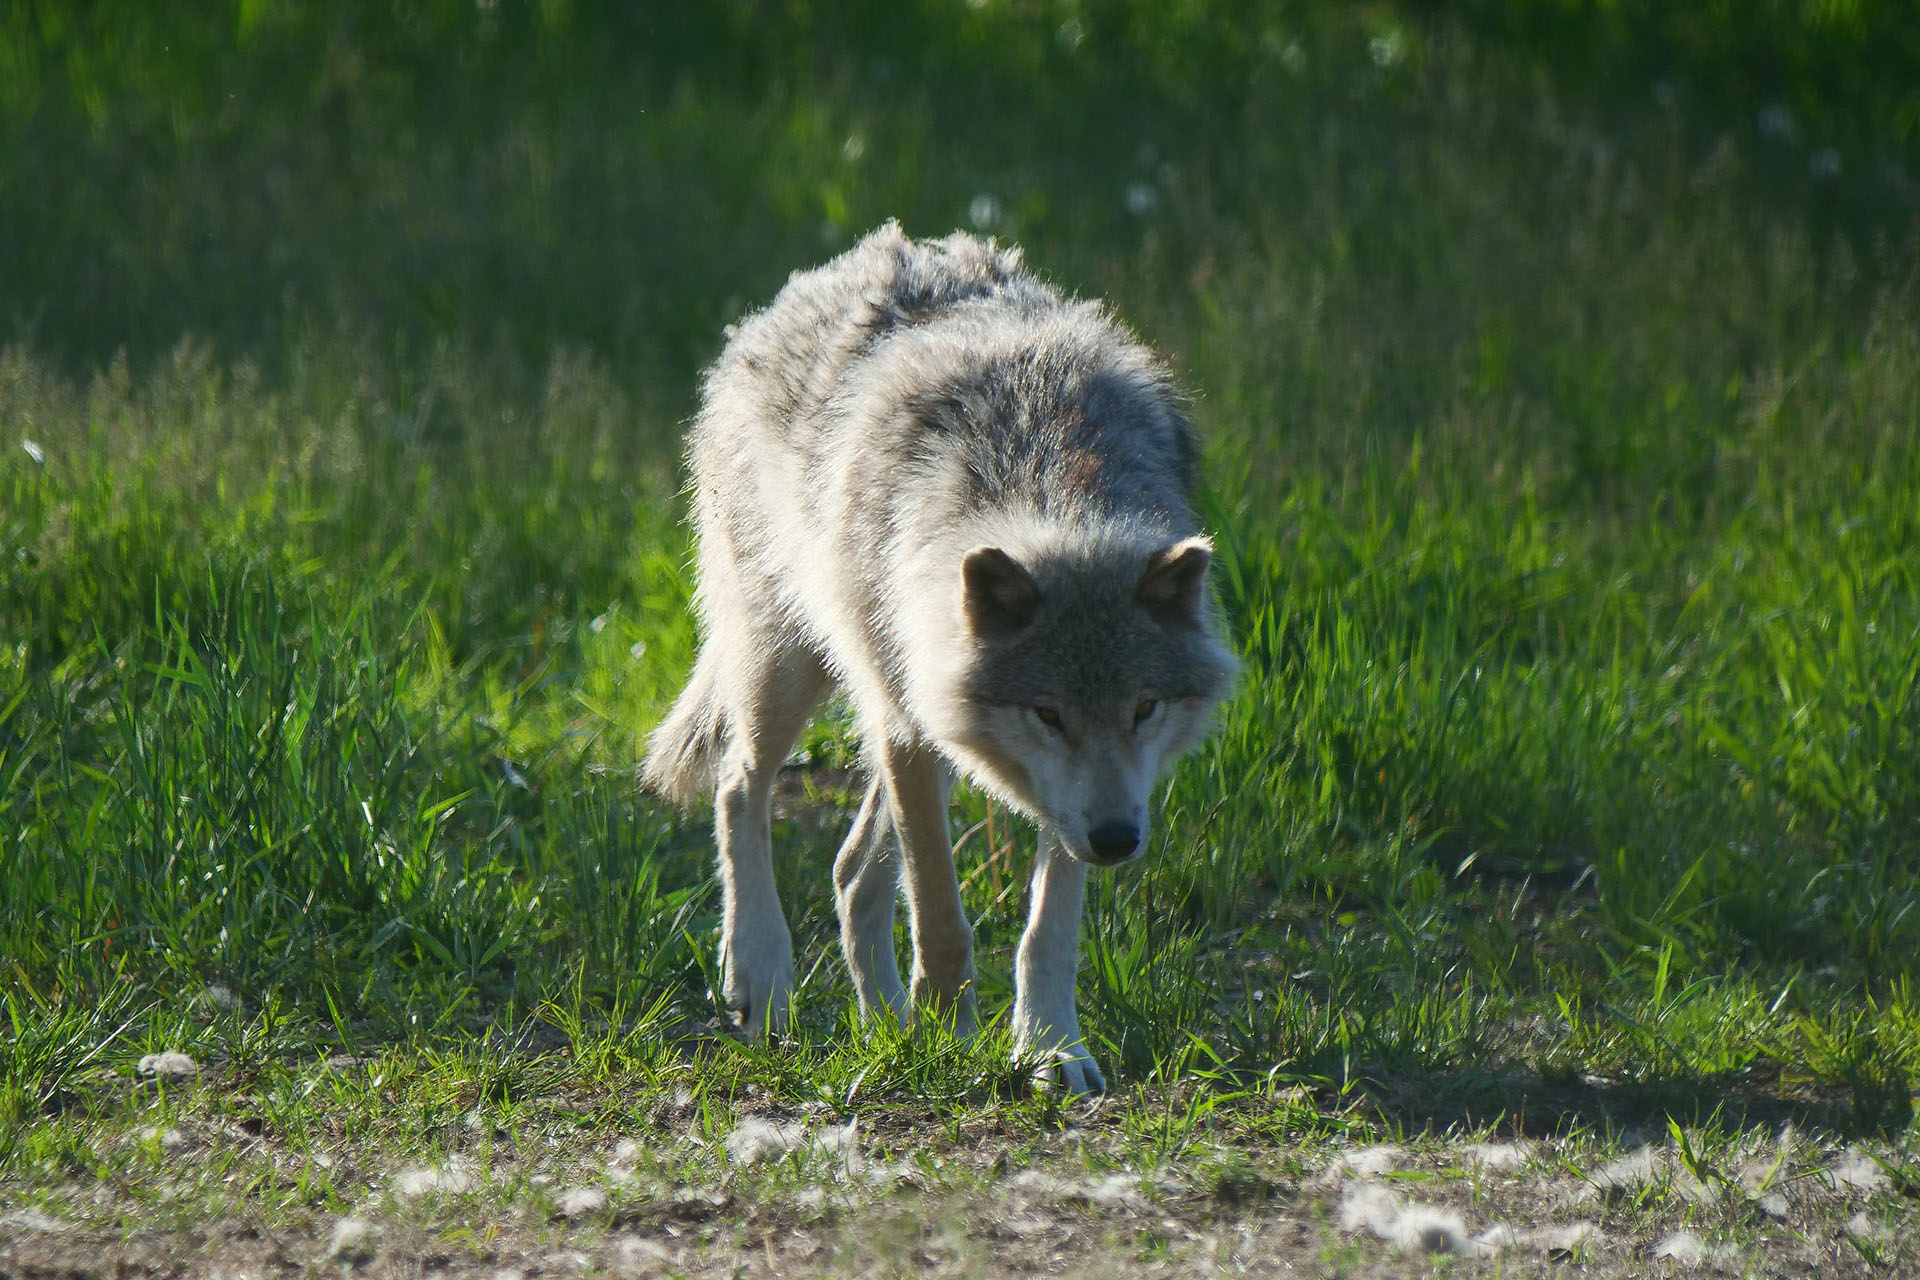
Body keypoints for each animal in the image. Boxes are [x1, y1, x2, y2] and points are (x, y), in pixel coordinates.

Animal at [643, 222, 1236, 1093]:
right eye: (1048, 713)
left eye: (1144, 709)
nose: (1118, 843)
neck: (1047, 485)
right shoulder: (909, 726)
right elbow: (941, 916)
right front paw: (947, 1041)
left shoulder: (1073, 795)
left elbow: (1047, 929)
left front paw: (1050, 1048)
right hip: (794, 665)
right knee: (738, 787)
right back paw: (763, 976)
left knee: (850, 871)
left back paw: (881, 1023)